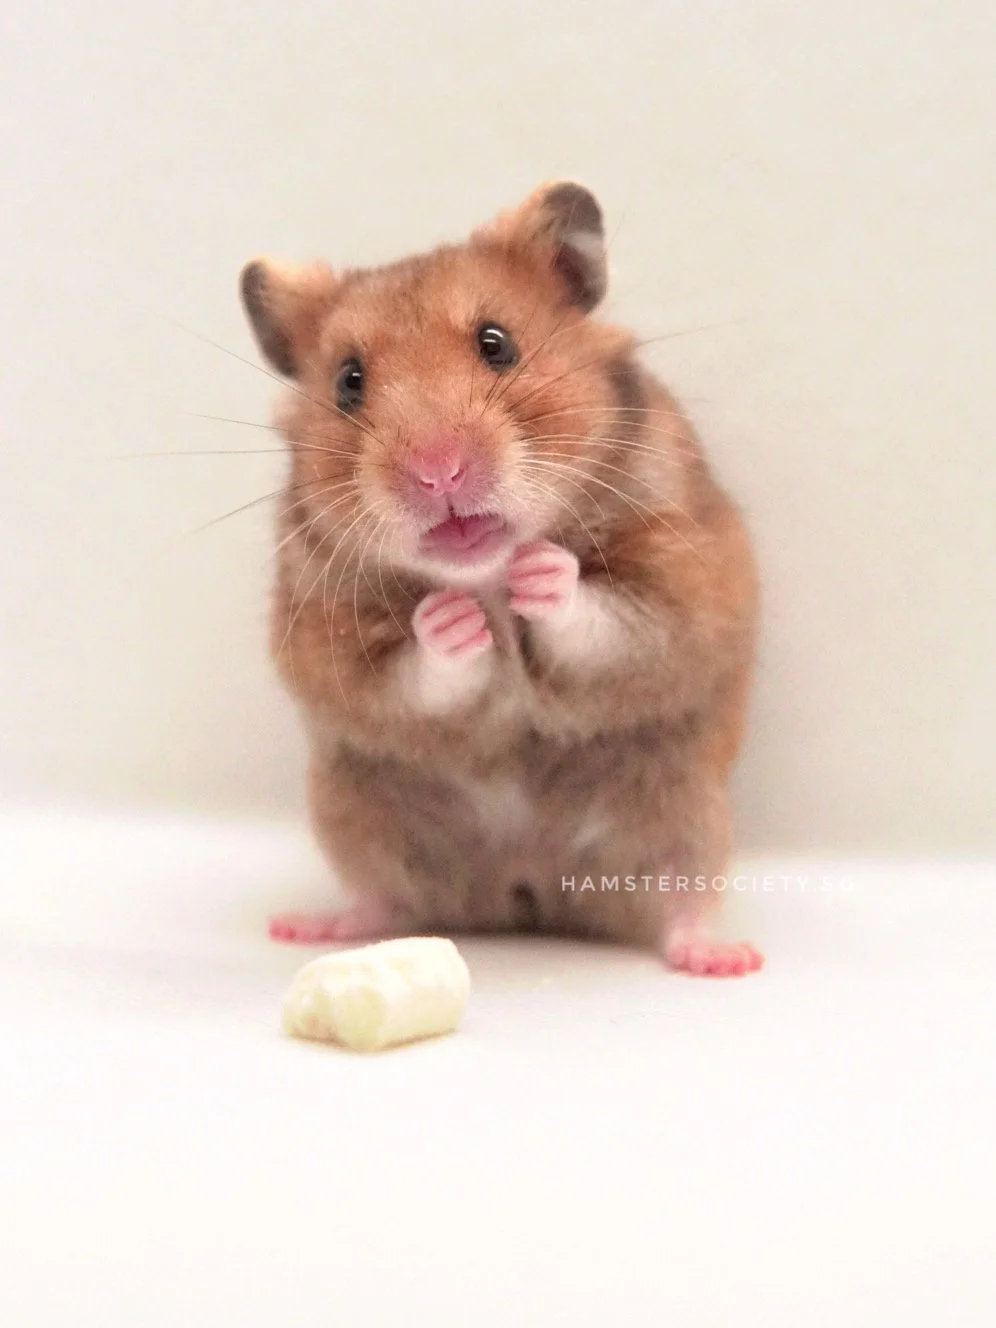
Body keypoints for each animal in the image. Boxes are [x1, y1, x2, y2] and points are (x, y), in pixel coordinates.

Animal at [240, 182, 762, 977]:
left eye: (497, 343)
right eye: (348, 382)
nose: (438, 472)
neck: (480, 571)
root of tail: (525, 888)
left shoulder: (683, 576)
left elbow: (609, 615)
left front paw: (537, 573)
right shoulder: (325, 634)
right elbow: (411, 671)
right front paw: (454, 620)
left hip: (685, 811)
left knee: (680, 901)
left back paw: (723, 958)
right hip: (358, 816)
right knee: (387, 900)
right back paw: (309, 927)